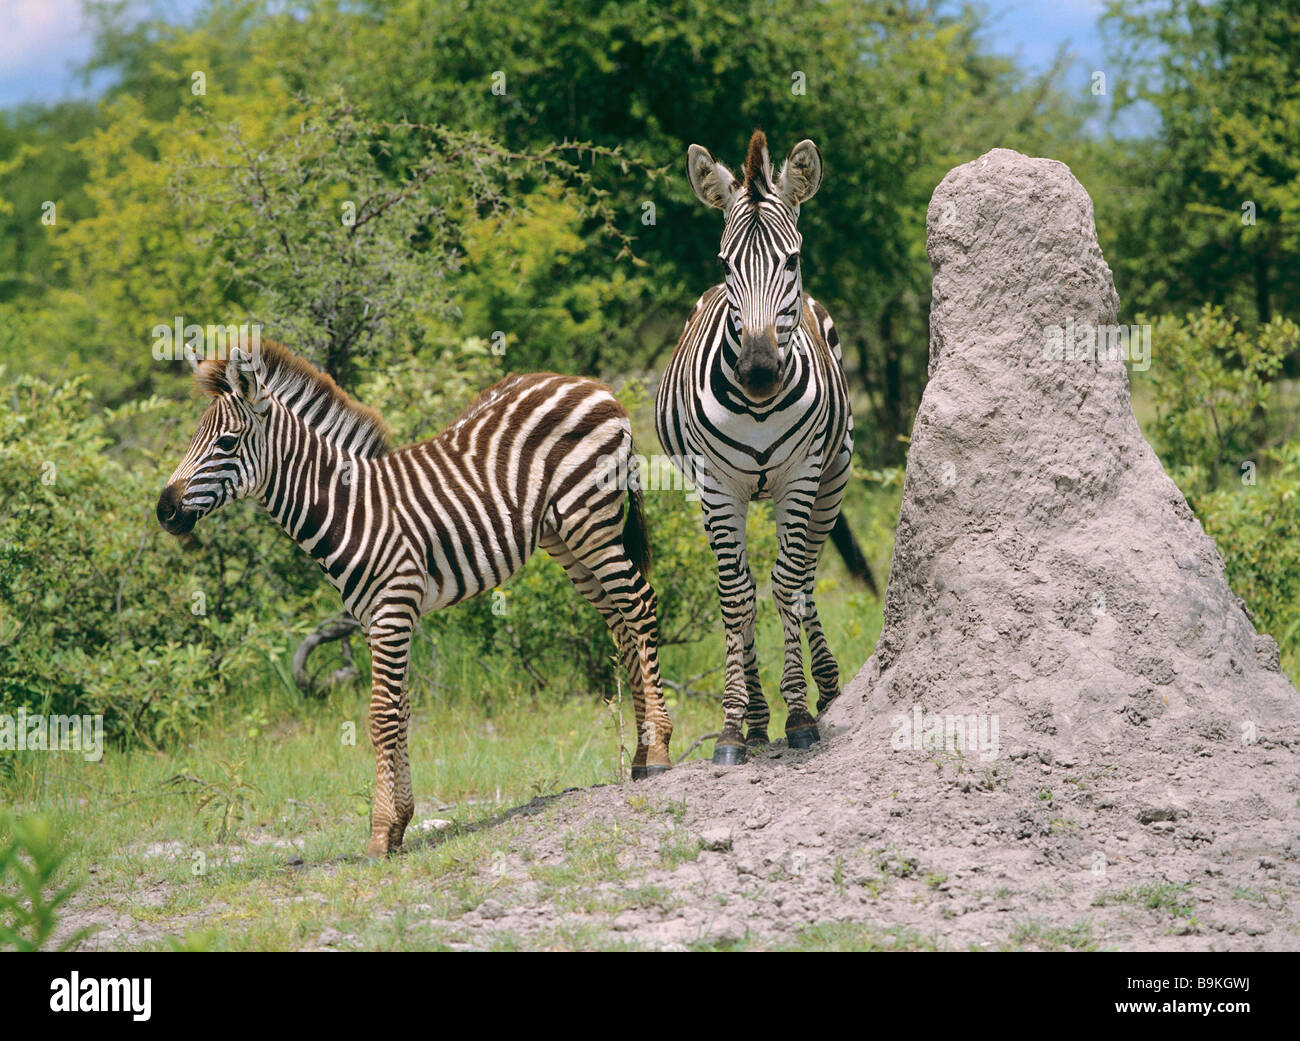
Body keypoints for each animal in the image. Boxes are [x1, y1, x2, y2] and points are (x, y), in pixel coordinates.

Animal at [157, 341, 672, 857]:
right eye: (192, 438)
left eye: (225, 443)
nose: (164, 511)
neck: (349, 509)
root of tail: (593, 385)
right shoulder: (374, 619)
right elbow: (400, 712)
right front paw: (400, 825)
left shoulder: (392, 610)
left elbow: (381, 717)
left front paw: (379, 834)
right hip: (564, 539)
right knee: (620, 621)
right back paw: (641, 754)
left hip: (589, 521)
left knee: (640, 605)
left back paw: (661, 750)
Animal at [655, 130, 852, 766]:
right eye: (725, 264)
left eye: (791, 260)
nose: (760, 373)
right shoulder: (718, 487)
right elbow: (736, 596)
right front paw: (735, 726)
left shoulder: (801, 475)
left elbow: (787, 583)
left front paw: (800, 715)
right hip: (718, 496)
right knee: (743, 582)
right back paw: (759, 717)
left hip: (833, 480)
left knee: (806, 573)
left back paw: (826, 686)